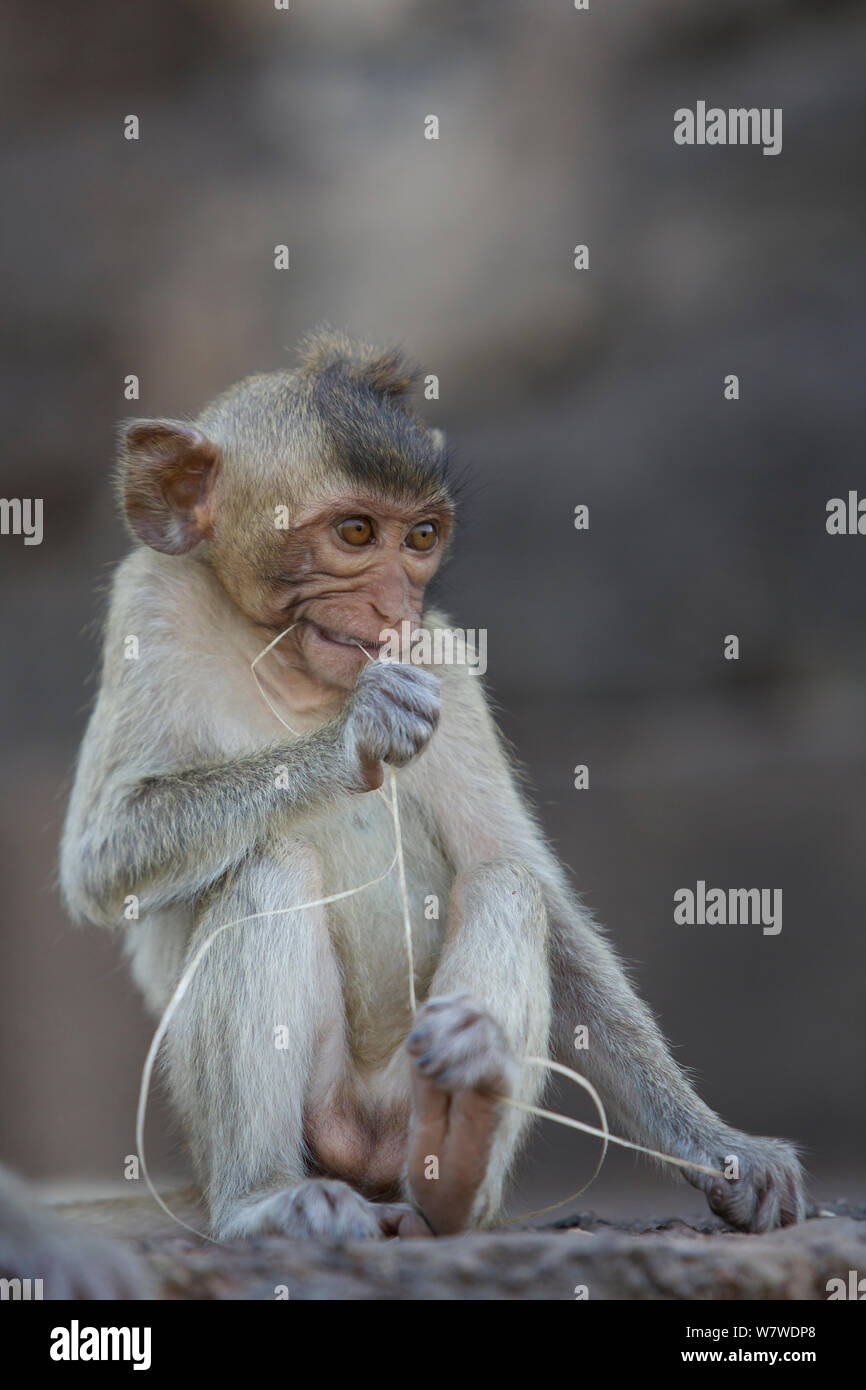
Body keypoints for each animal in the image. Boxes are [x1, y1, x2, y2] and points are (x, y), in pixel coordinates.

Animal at [59, 328, 805, 1242]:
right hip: (309, 1120)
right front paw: (356, 732)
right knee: (268, 869)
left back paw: (458, 1152)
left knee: (507, 884)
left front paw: (722, 1147)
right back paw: (266, 1198)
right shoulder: (150, 604)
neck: (291, 665)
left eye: (419, 539)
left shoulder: (445, 659)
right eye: (354, 532)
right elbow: (102, 859)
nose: (394, 610)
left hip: (403, 1091)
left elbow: (534, 890)